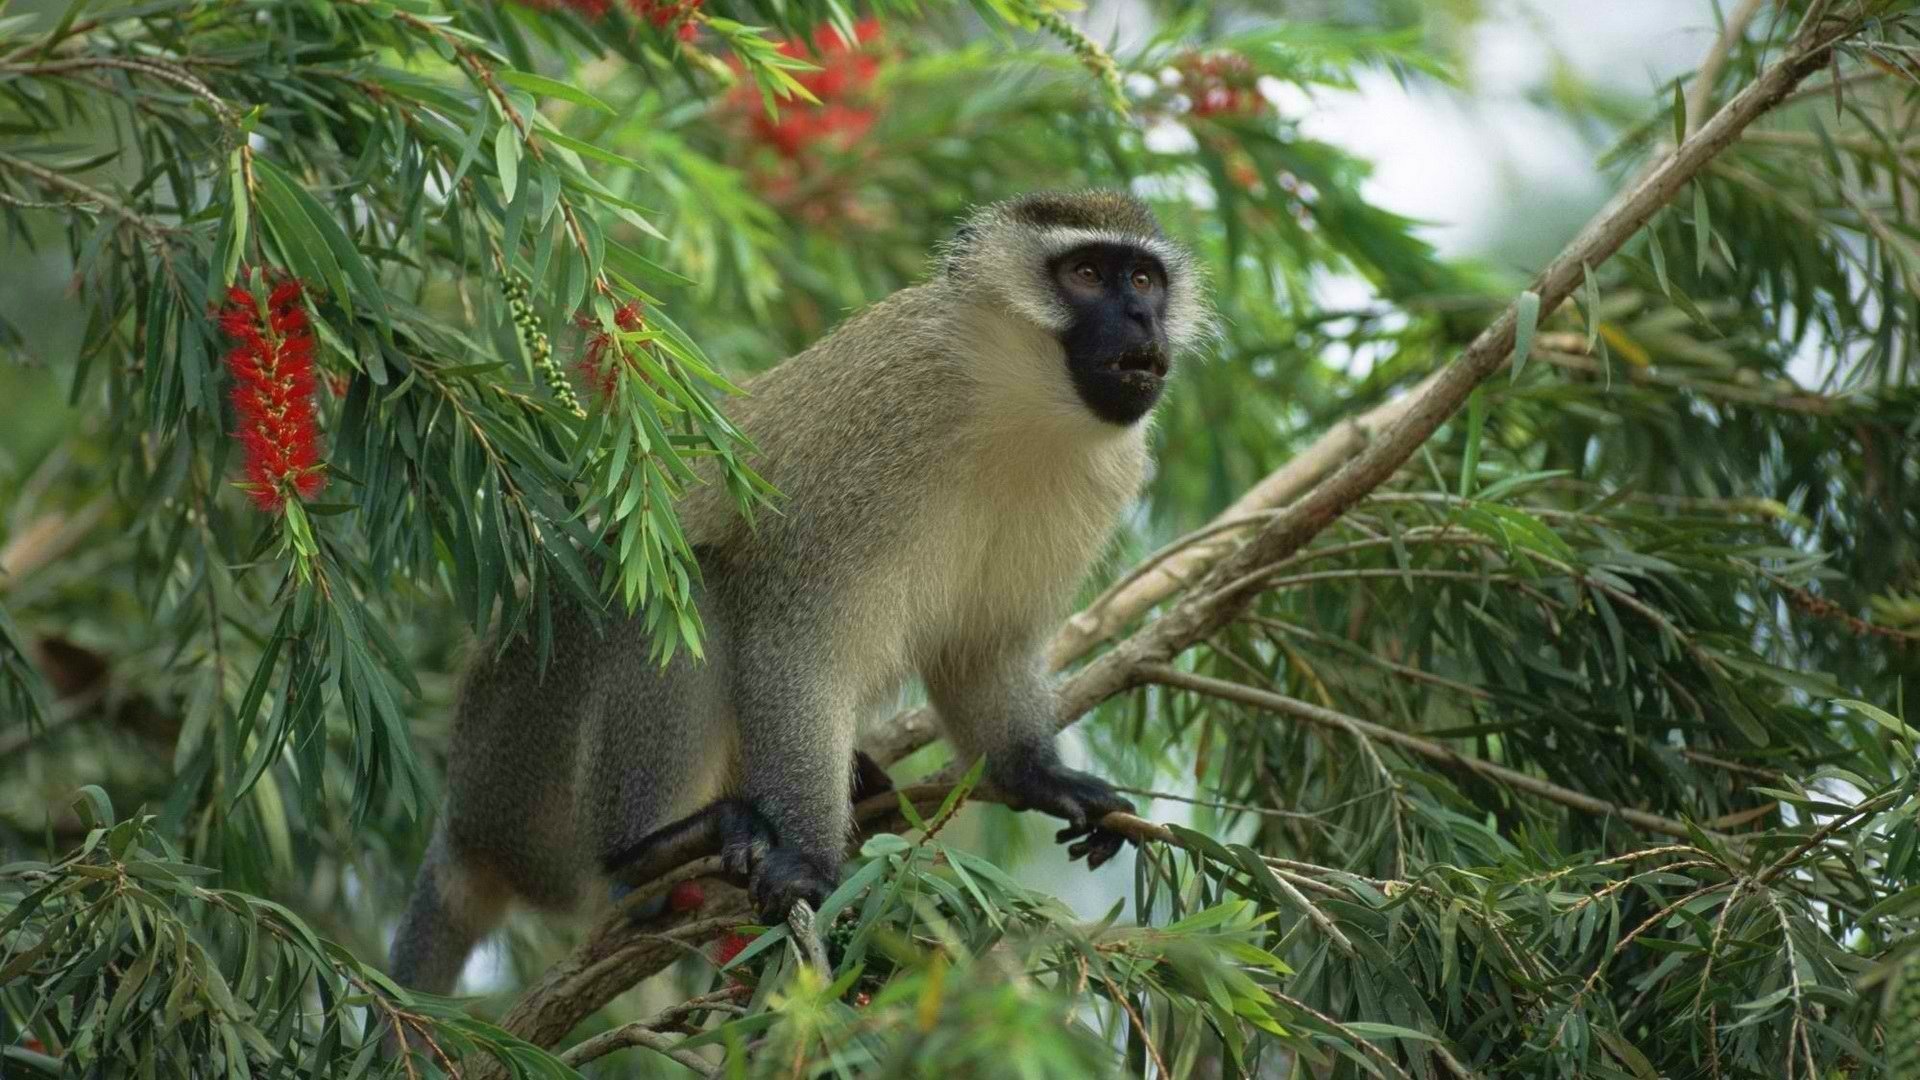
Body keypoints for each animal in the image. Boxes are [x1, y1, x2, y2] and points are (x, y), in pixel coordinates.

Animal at [388, 189, 1210, 996]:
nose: (1142, 320)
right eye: (1086, 274)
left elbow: (982, 650)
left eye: (1143, 280)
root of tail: (464, 822)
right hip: (528, 772)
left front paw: (1038, 773)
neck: (1018, 403)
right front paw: (810, 861)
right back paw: (647, 857)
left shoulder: (1105, 477)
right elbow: (801, 648)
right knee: (682, 591)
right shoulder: (878, 431)